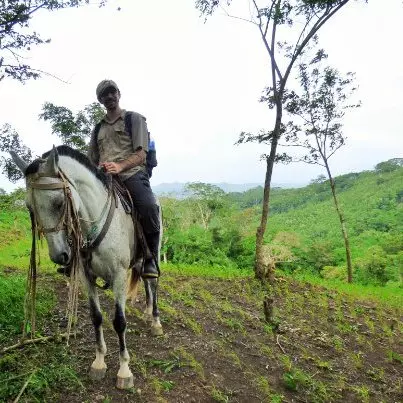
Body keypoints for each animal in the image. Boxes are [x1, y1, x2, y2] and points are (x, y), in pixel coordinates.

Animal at [12, 146, 164, 392]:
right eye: (29, 207)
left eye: (59, 203)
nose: (60, 256)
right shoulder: (86, 277)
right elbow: (96, 317)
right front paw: (99, 362)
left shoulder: (119, 276)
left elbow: (119, 322)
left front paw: (124, 370)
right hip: (139, 259)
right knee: (146, 283)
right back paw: (148, 312)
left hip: (153, 251)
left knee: (152, 282)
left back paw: (156, 321)